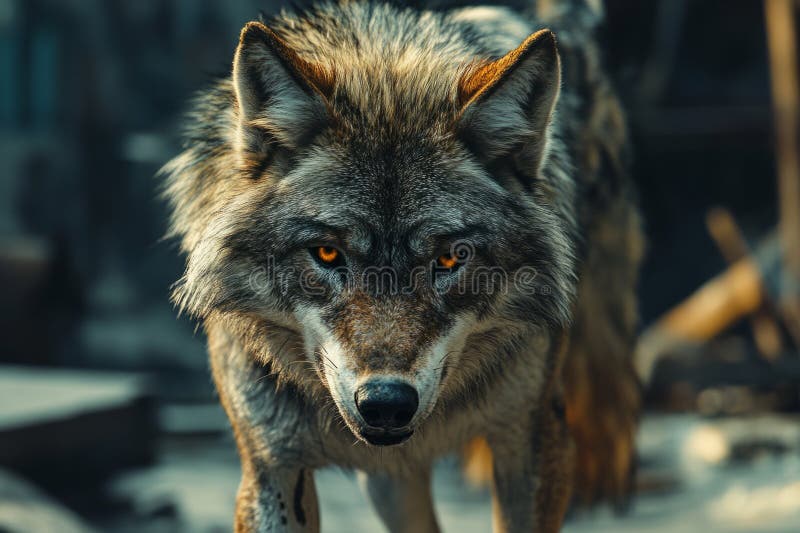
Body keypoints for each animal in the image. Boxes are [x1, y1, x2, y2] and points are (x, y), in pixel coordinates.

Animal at [162, 0, 643, 531]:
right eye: (327, 254)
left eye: (450, 257)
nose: (386, 404)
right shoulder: (271, 467)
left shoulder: (534, 440)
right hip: (387, 483)